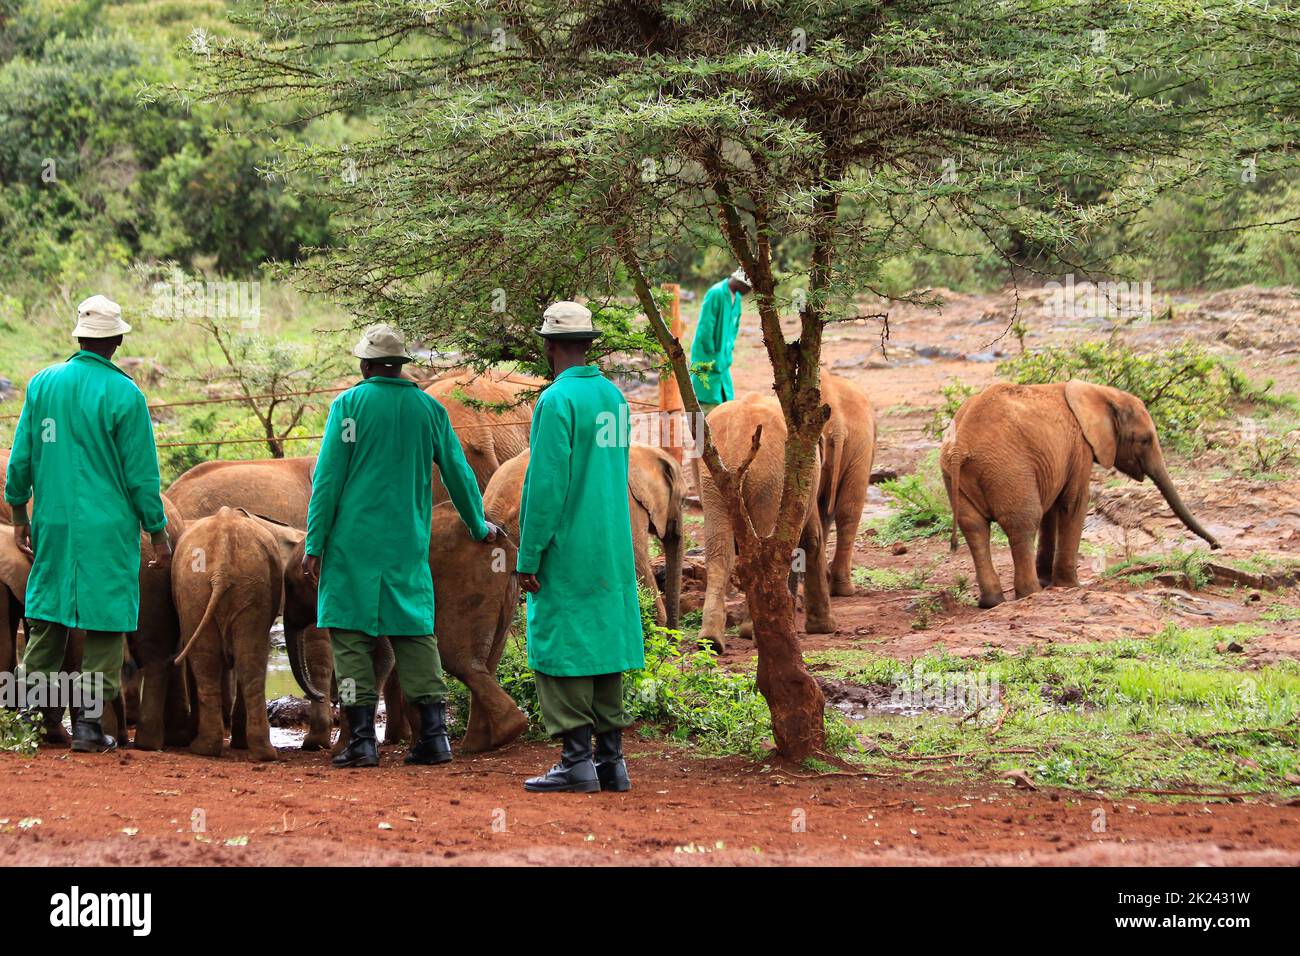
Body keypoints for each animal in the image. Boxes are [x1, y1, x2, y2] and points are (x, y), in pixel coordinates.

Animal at [171, 507, 285, 760]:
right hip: (231, 586)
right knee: (246, 661)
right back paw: (258, 752)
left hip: (210, 586)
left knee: (211, 662)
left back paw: (204, 748)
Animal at [697, 394, 833, 651]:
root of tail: (738, 438)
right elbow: (811, 540)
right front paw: (824, 628)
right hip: (769, 478)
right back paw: (754, 634)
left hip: (714, 480)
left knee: (720, 553)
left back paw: (711, 641)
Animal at [940, 380, 1221, 609]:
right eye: (1144, 440)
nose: (1216, 547)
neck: (1101, 392)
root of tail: (961, 447)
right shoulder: (1079, 446)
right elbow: (1072, 502)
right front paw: (1070, 586)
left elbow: (1052, 508)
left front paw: (1049, 580)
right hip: (1008, 468)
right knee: (1022, 522)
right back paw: (1031, 594)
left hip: (959, 474)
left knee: (974, 527)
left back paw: (992, 602)